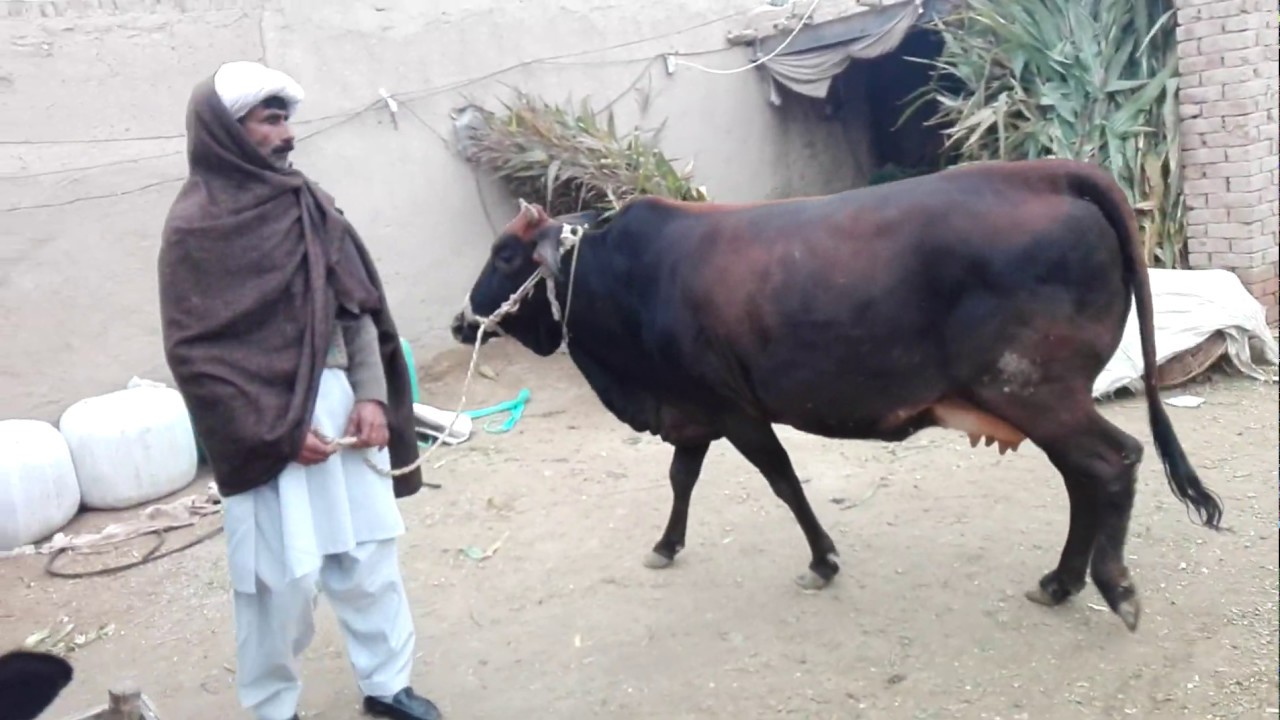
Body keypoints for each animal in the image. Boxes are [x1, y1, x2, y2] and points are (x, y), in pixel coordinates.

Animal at [449, 158, 1224, 632]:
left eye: (506, 256)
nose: (461, 322)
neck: (622, 276)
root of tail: (1054, 173)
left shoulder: (731, 408)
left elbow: (782, 480)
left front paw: (822, 560)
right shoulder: (694, 412)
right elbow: (681, 477)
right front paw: (666, 545)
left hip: (1037, 391)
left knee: (1114, 463)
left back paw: (1113, 586)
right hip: (1040, 400)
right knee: (1083, 478)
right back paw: (1061, 581)